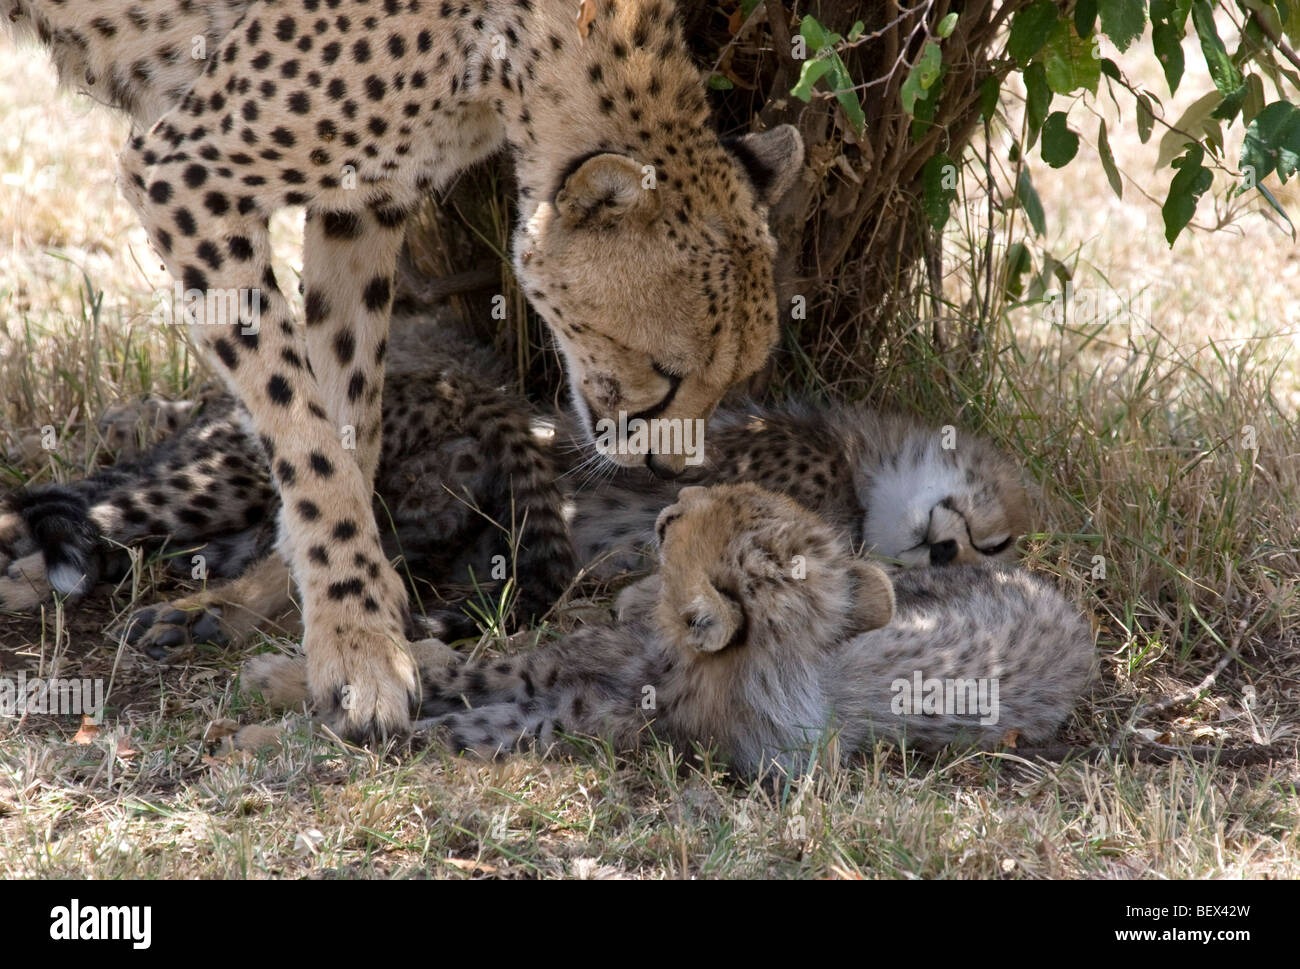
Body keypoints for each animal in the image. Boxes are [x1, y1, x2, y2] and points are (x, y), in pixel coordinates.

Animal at [3, 0, 806, 740]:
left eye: (734, 377)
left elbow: (351, 424)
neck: (516, 53)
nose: (673, 472)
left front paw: (302, 610)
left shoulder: (361, 205)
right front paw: (356, 642)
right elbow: (305, 434)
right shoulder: (186, 173)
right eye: (666, 372)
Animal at [245, 483, 1095, 779]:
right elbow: (457, 672)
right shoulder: (545, 676)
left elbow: (434, 719)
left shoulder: (545, 721)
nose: (669, 505)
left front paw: (272, 728)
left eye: (692, 525)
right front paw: (292, 686)